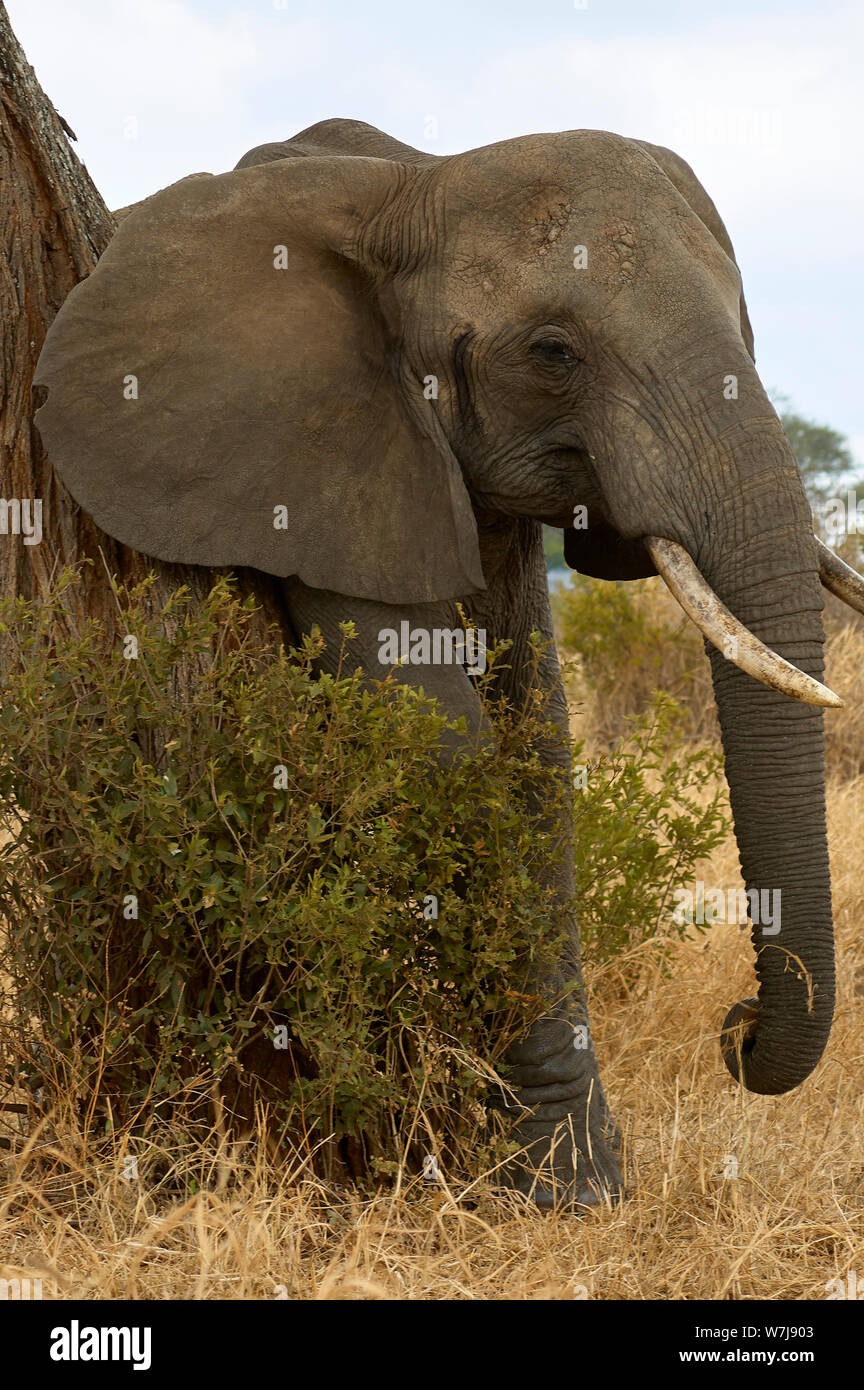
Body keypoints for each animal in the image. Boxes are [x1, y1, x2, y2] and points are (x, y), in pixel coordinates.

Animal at [32, 117, 864, 1209]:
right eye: (553, 352)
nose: (739, 1027)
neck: (412, 182)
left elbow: (535, 744)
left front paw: (572, 1189)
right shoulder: (309, 456)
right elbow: (449, 744)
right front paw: (545, 1187)